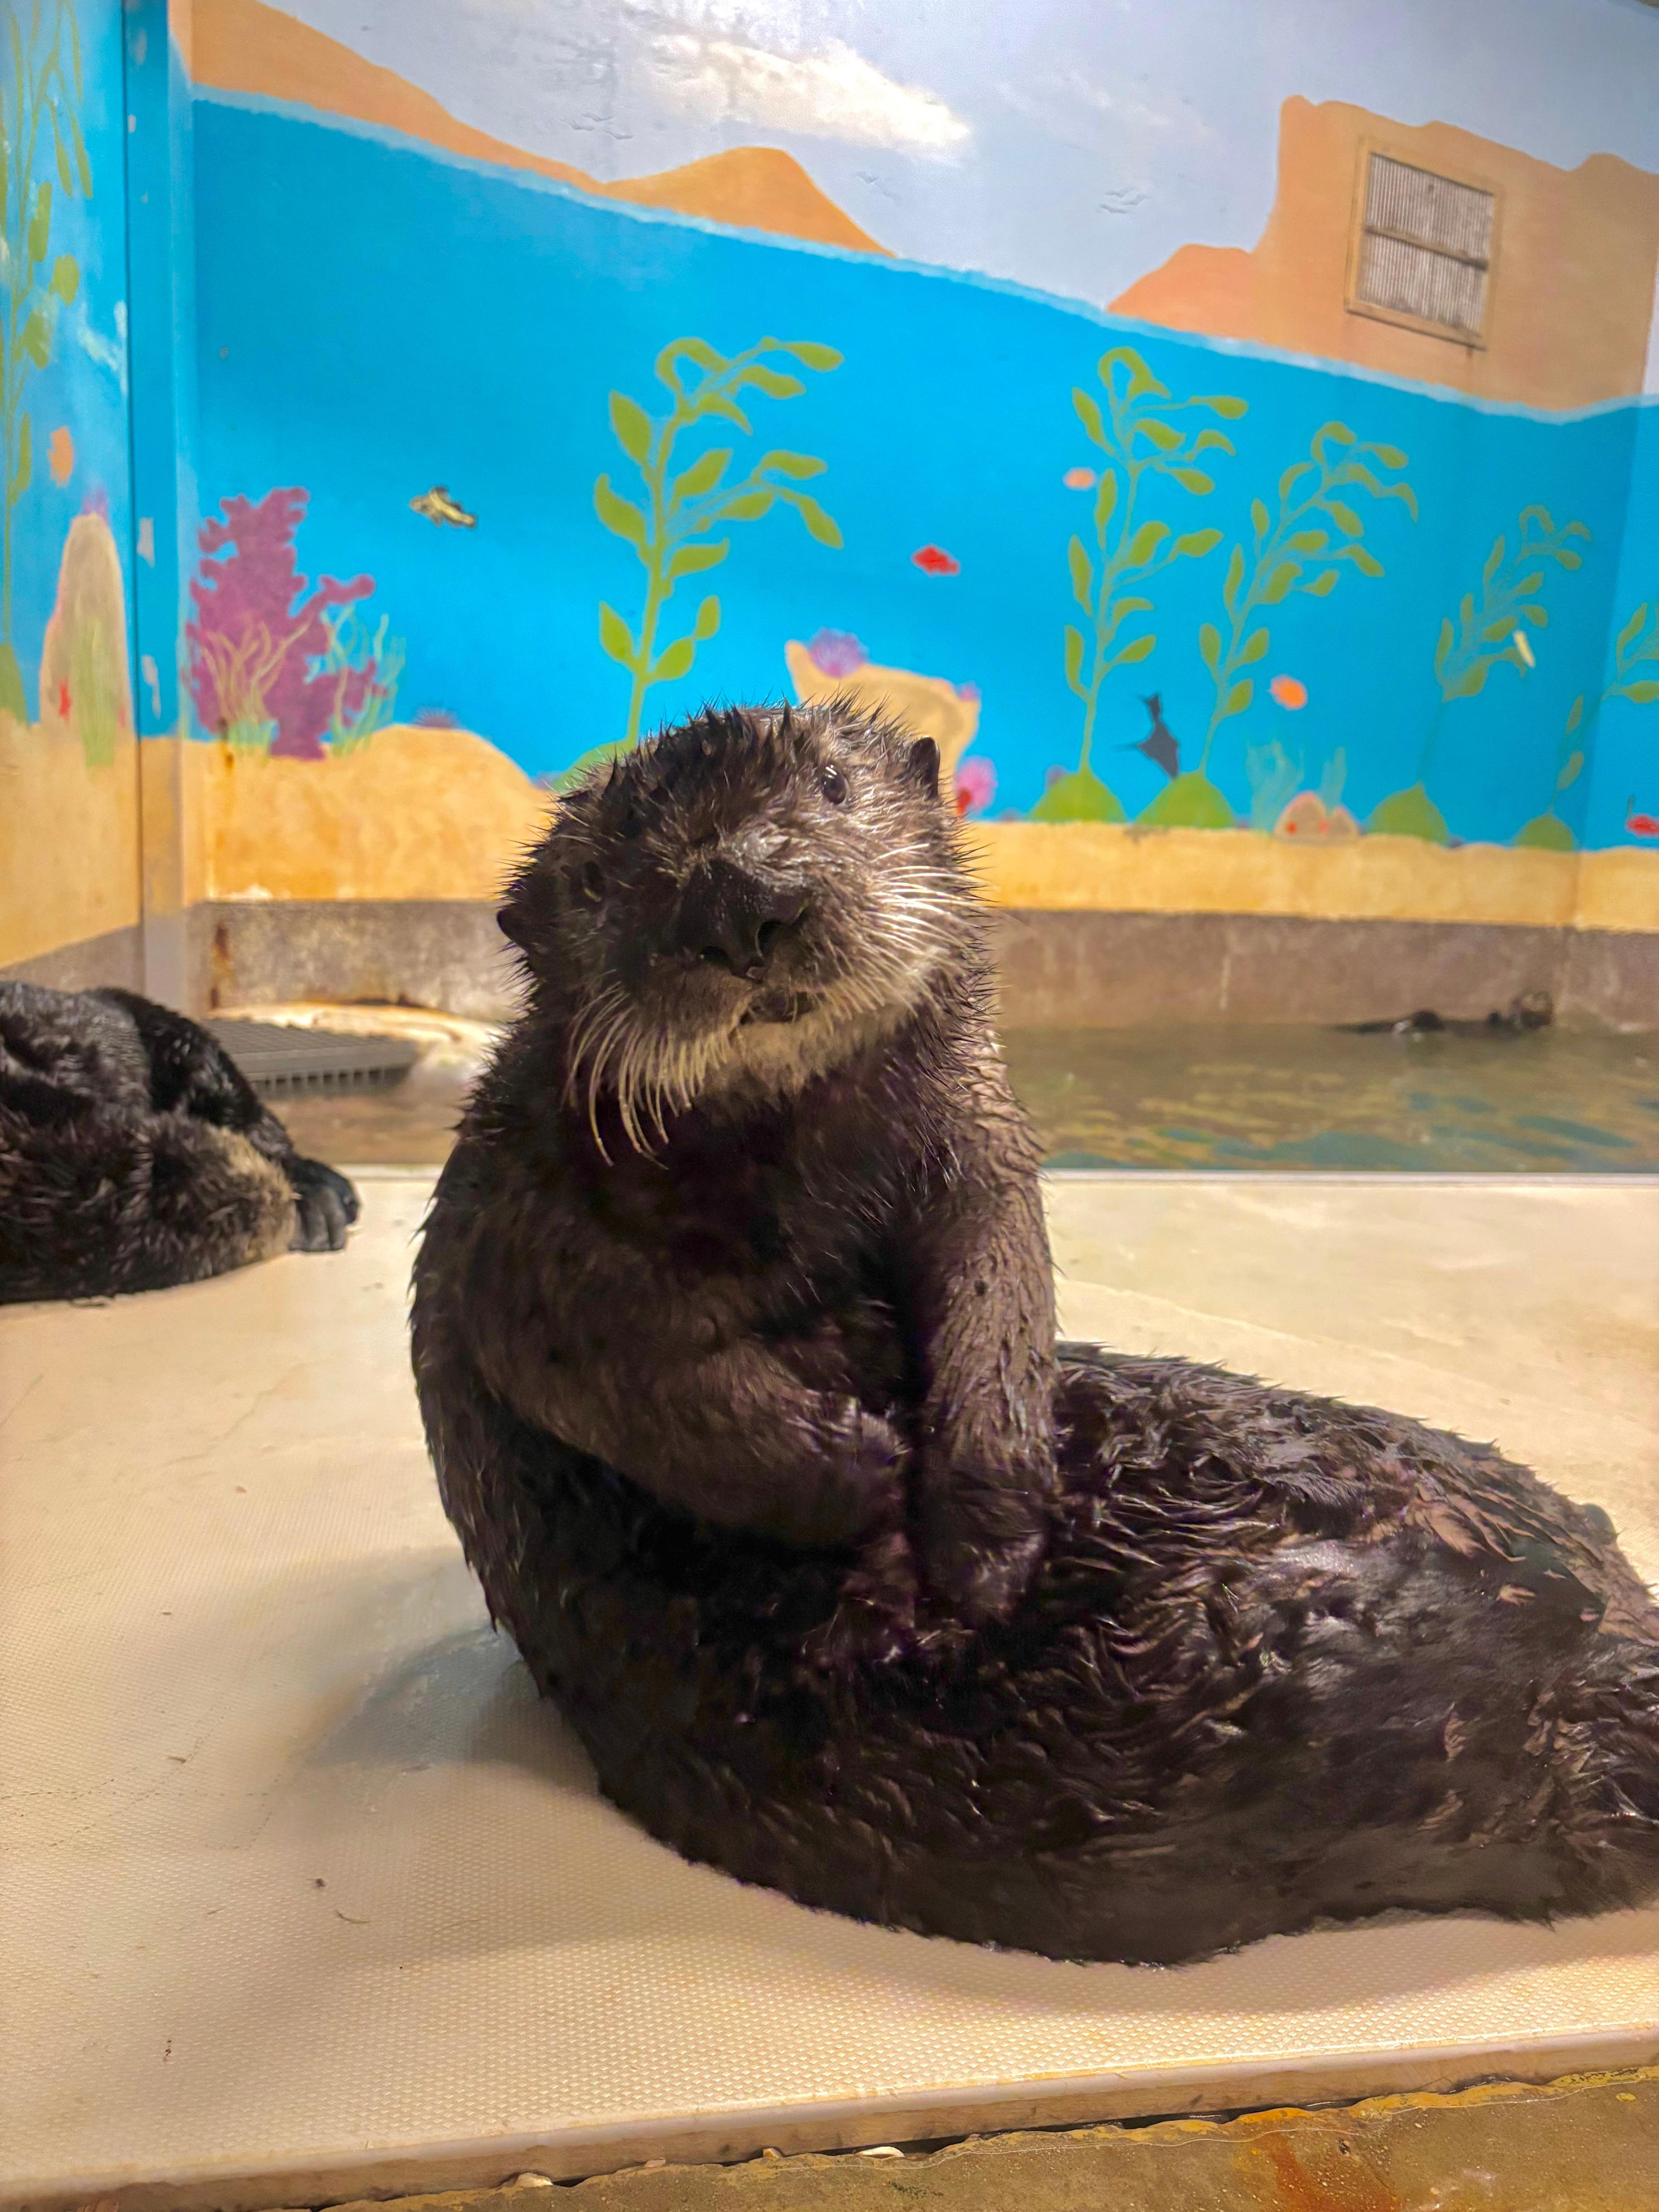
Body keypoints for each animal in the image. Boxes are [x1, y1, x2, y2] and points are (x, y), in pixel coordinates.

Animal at [412, 703, 1659, 1965]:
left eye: (830, 788)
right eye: (605, 876)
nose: (738, 896)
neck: (793, 1150)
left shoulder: (973, 1140)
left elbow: (997, 1278)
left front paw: (984, 1520)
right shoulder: (523, 1240)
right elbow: (636, 1382)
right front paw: (863, 1472)